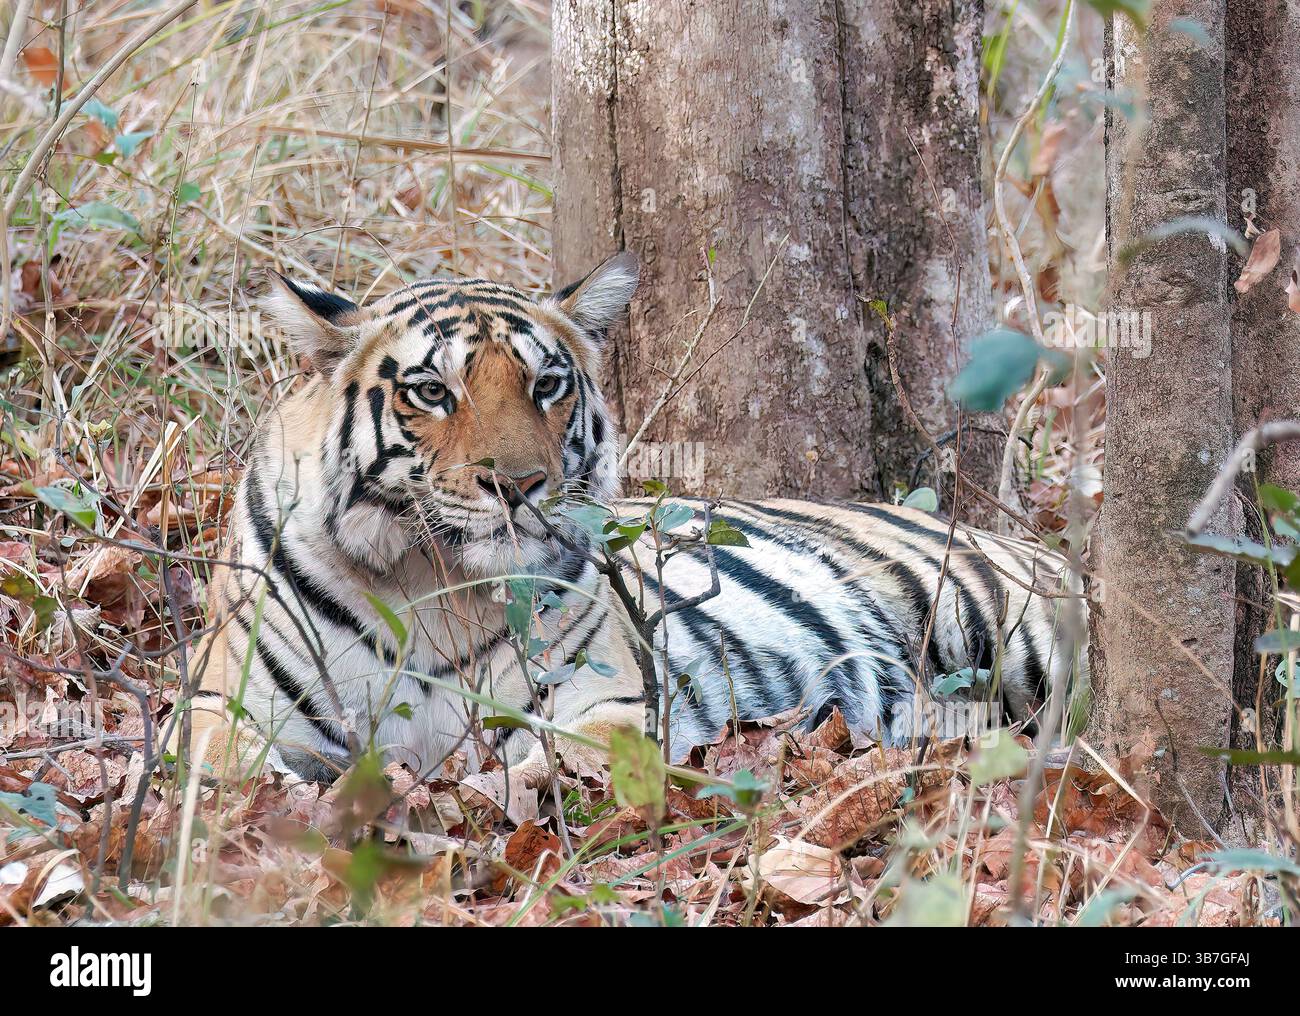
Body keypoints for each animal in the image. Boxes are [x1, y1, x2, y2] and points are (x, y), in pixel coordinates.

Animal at [177, 253, 1076, 785]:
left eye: (546, 385)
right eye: (432, 391)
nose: (520, 485)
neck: (430, 579)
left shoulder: (612, 699)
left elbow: (554, 761)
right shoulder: (231, 706)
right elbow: (234, 772)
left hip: (1016, 634)